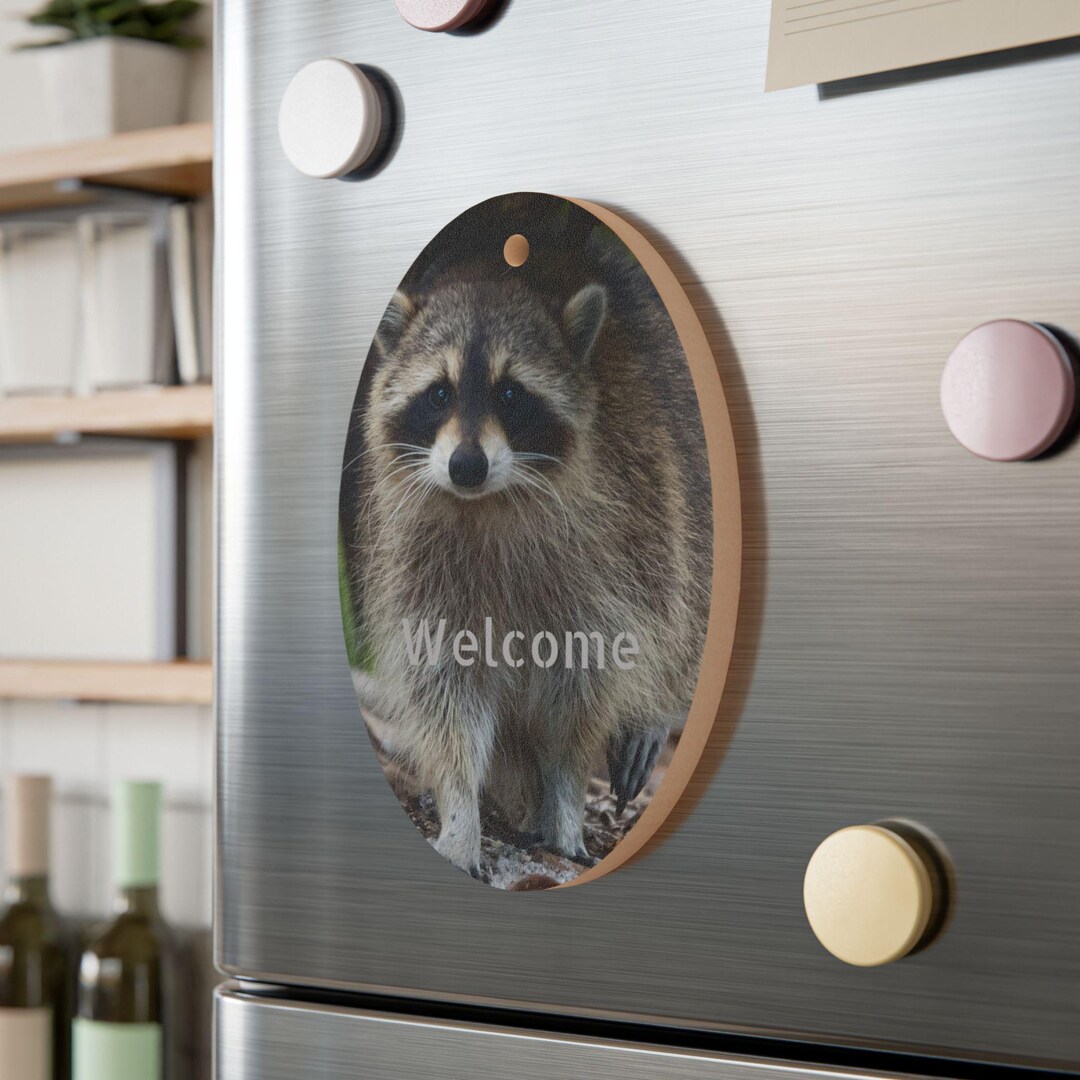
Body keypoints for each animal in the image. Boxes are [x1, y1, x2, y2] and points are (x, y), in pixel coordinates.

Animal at [343, 247, 712, 879]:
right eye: (438, 394)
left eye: (511, 394)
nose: (466, 465)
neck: (488, 502)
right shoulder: (421, 564)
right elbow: (444, 686)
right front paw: (460, 810)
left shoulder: (608, 551)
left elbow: (585, 683)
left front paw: (563, 796)